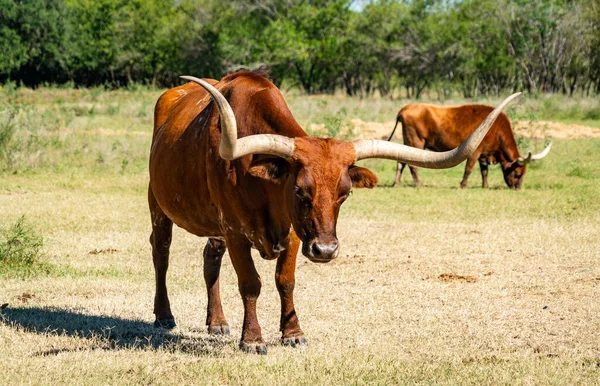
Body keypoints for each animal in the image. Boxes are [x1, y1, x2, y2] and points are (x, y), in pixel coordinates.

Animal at [148, 72, 516, 352]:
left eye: (345, 193)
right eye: (299, 189)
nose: (325, 250)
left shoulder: (294, 232)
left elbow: (285, 281)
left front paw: (293, 333)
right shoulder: (236, 230)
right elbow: (250, 283)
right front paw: (252, 339)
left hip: (214, 227)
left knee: (210, 260)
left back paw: (217, 322)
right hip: (159, 206)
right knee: (161, 254)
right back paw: (164, 315)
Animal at [386, 103, 552, 189]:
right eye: (517, 174)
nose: (517, 188)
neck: (497, 128)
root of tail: (405, 108)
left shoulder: (484, 154)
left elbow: (484, 171)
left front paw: (485, 186)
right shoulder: (475, 152)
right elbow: (469, 169)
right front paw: (463, 185)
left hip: (408, 143)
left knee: (401, 162)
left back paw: (396, 183)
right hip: (416, 142)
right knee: (411, 165)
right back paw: (418, 184)